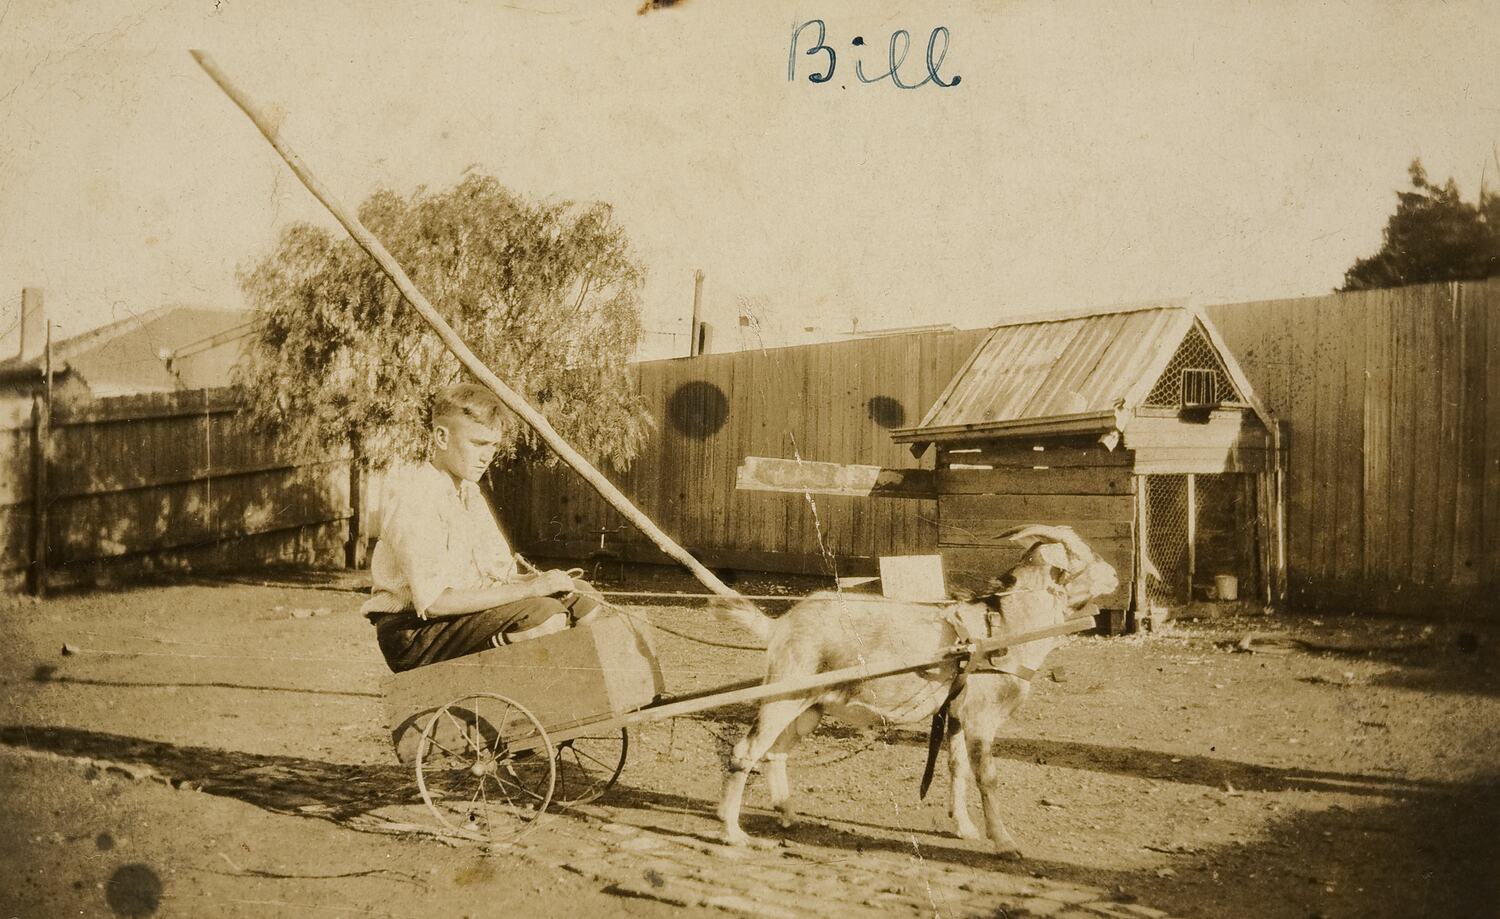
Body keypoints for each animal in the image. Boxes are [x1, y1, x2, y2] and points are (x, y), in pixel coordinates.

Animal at [712, 525, 1118, 857]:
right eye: (1085, 554)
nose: (1114, 575)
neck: (1004, 628)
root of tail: (780, 624)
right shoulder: (982, 719)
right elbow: (987, 777)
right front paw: (1004, 843)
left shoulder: (956, 714)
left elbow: (957, 768)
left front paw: (965, 827)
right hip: (785, 693)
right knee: (746, 751)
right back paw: (733, 833)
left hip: (810, 707)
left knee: (775, 752)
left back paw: (785, 812)